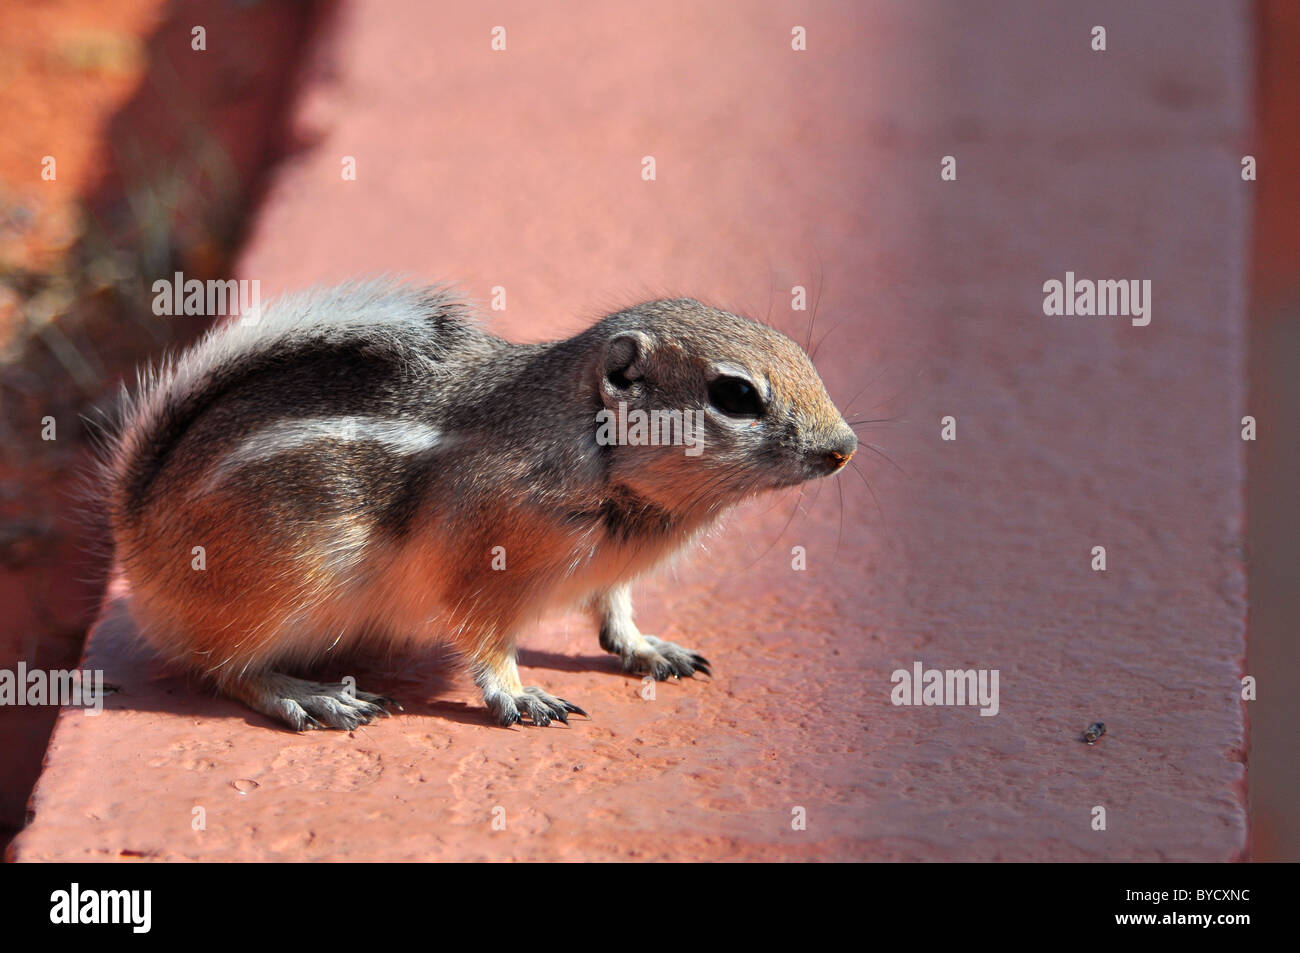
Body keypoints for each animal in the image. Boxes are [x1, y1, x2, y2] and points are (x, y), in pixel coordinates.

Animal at [103, 280, 857, 730]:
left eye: (800, 354)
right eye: (735, 395)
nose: (844, 447)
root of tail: (133, 527)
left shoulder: (609, 574)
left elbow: (613, 615)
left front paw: (647, 648)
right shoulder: (482, 561)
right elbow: (488, 643)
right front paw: (519, 693)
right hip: (283, 583)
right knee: (225, 669)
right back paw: (307, 694)